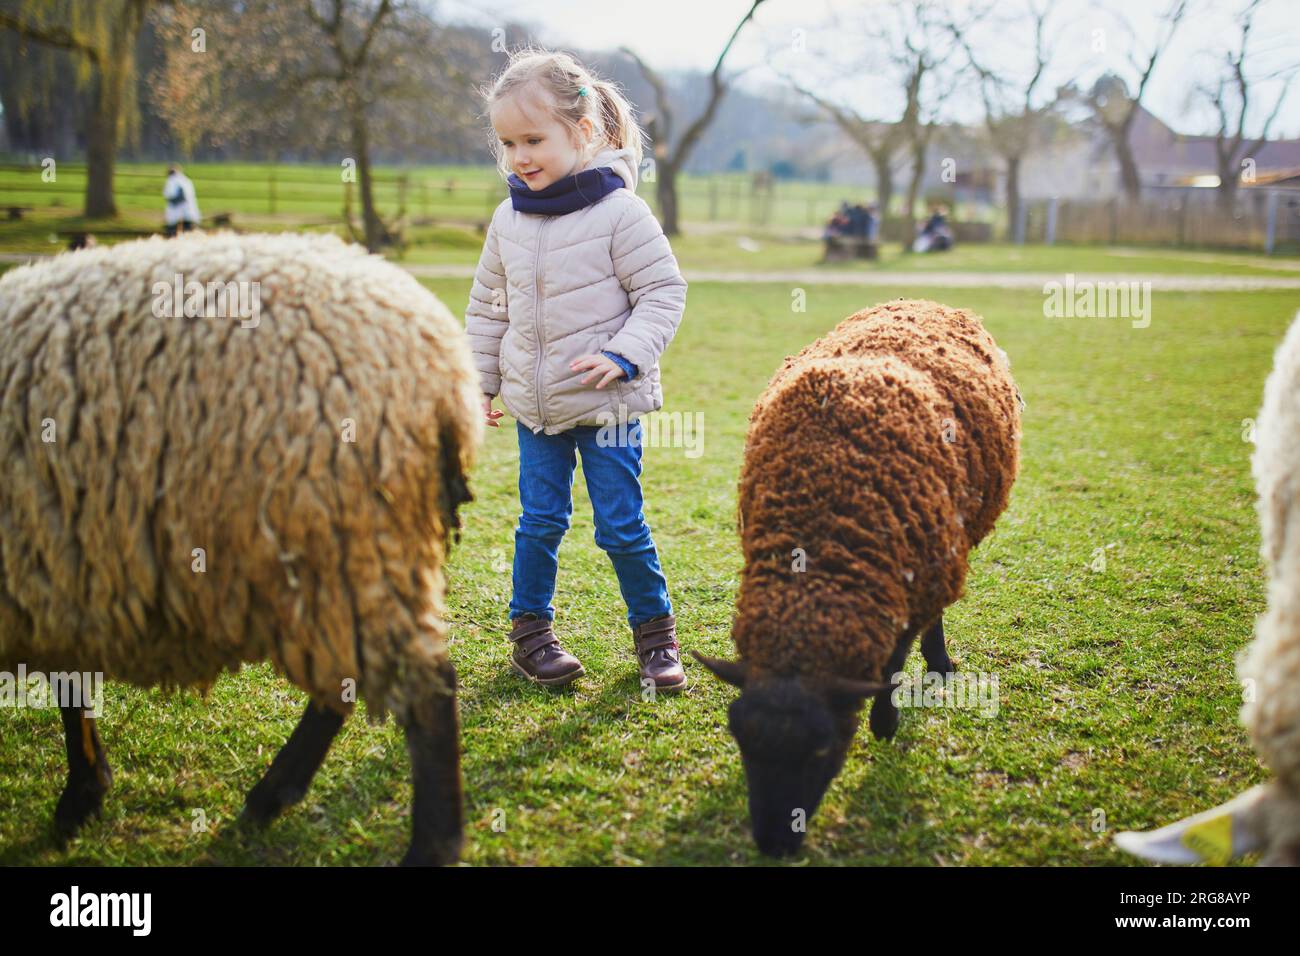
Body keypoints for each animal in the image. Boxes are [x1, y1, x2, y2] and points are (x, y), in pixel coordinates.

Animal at [0, 231, 482, 866]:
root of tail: (443, 373)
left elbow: (68, 687)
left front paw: (79, 798)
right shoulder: (58, 575)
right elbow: (70, 685)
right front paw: (86, 792)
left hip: (334, 542)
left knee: (424, 687)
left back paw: (429, 845)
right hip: (348, 556)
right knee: (346, 687)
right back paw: (270, 798)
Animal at [694, 298, 1022, 857]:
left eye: (823, 747)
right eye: (740, 741)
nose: (773, 846)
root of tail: (928, 301)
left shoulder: (910, 587)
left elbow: (891, 664)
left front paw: (885, 724)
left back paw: (940, 662)